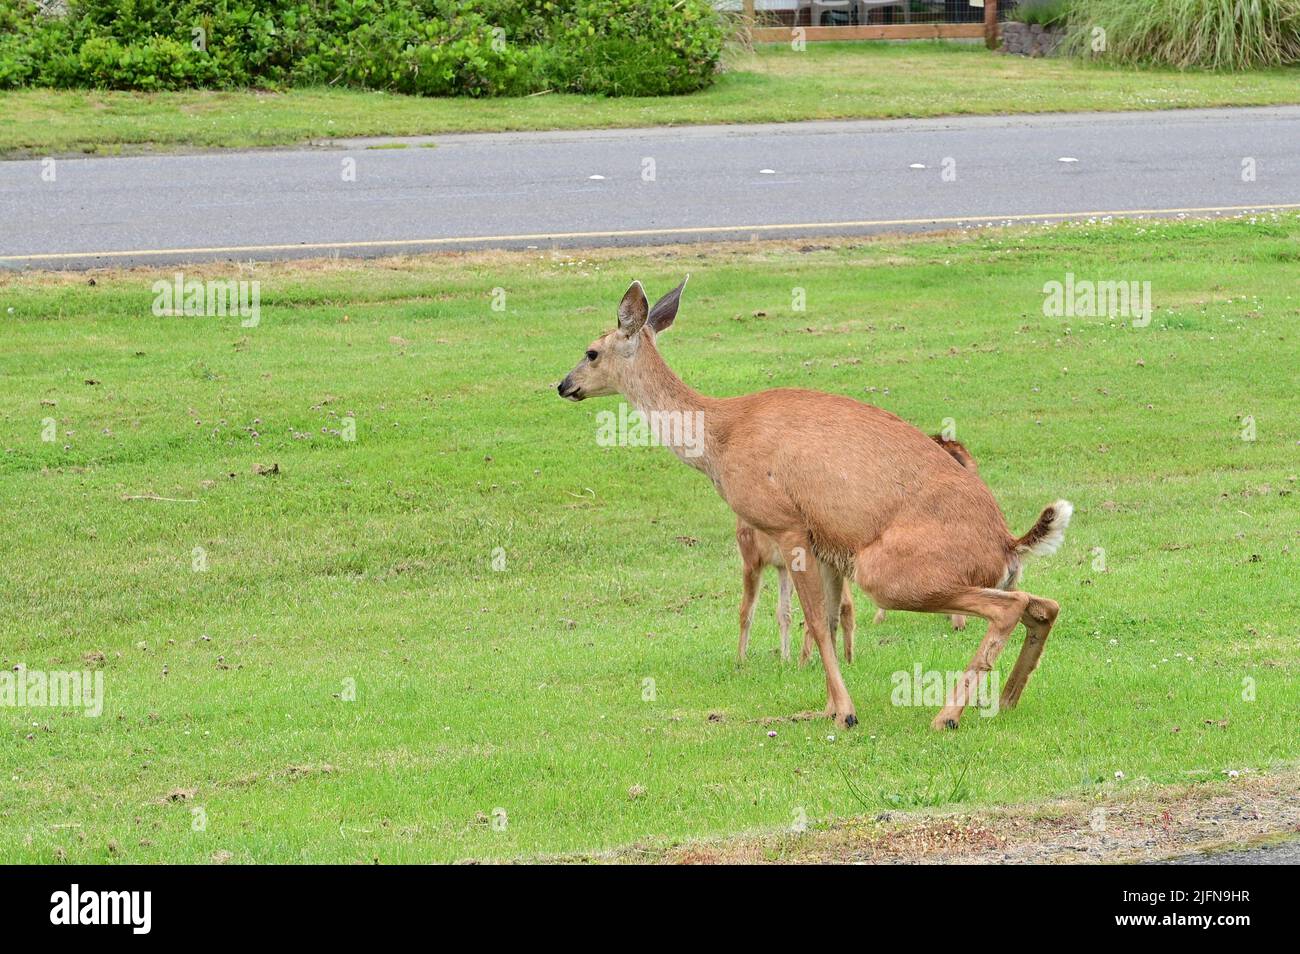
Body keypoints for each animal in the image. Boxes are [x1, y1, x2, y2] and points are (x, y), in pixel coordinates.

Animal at [736, 434, 978, 666]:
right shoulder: (783, 565)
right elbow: (784, 612)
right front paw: (785, 658)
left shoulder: (753, 559)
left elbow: (747, 610)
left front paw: (742, 660)